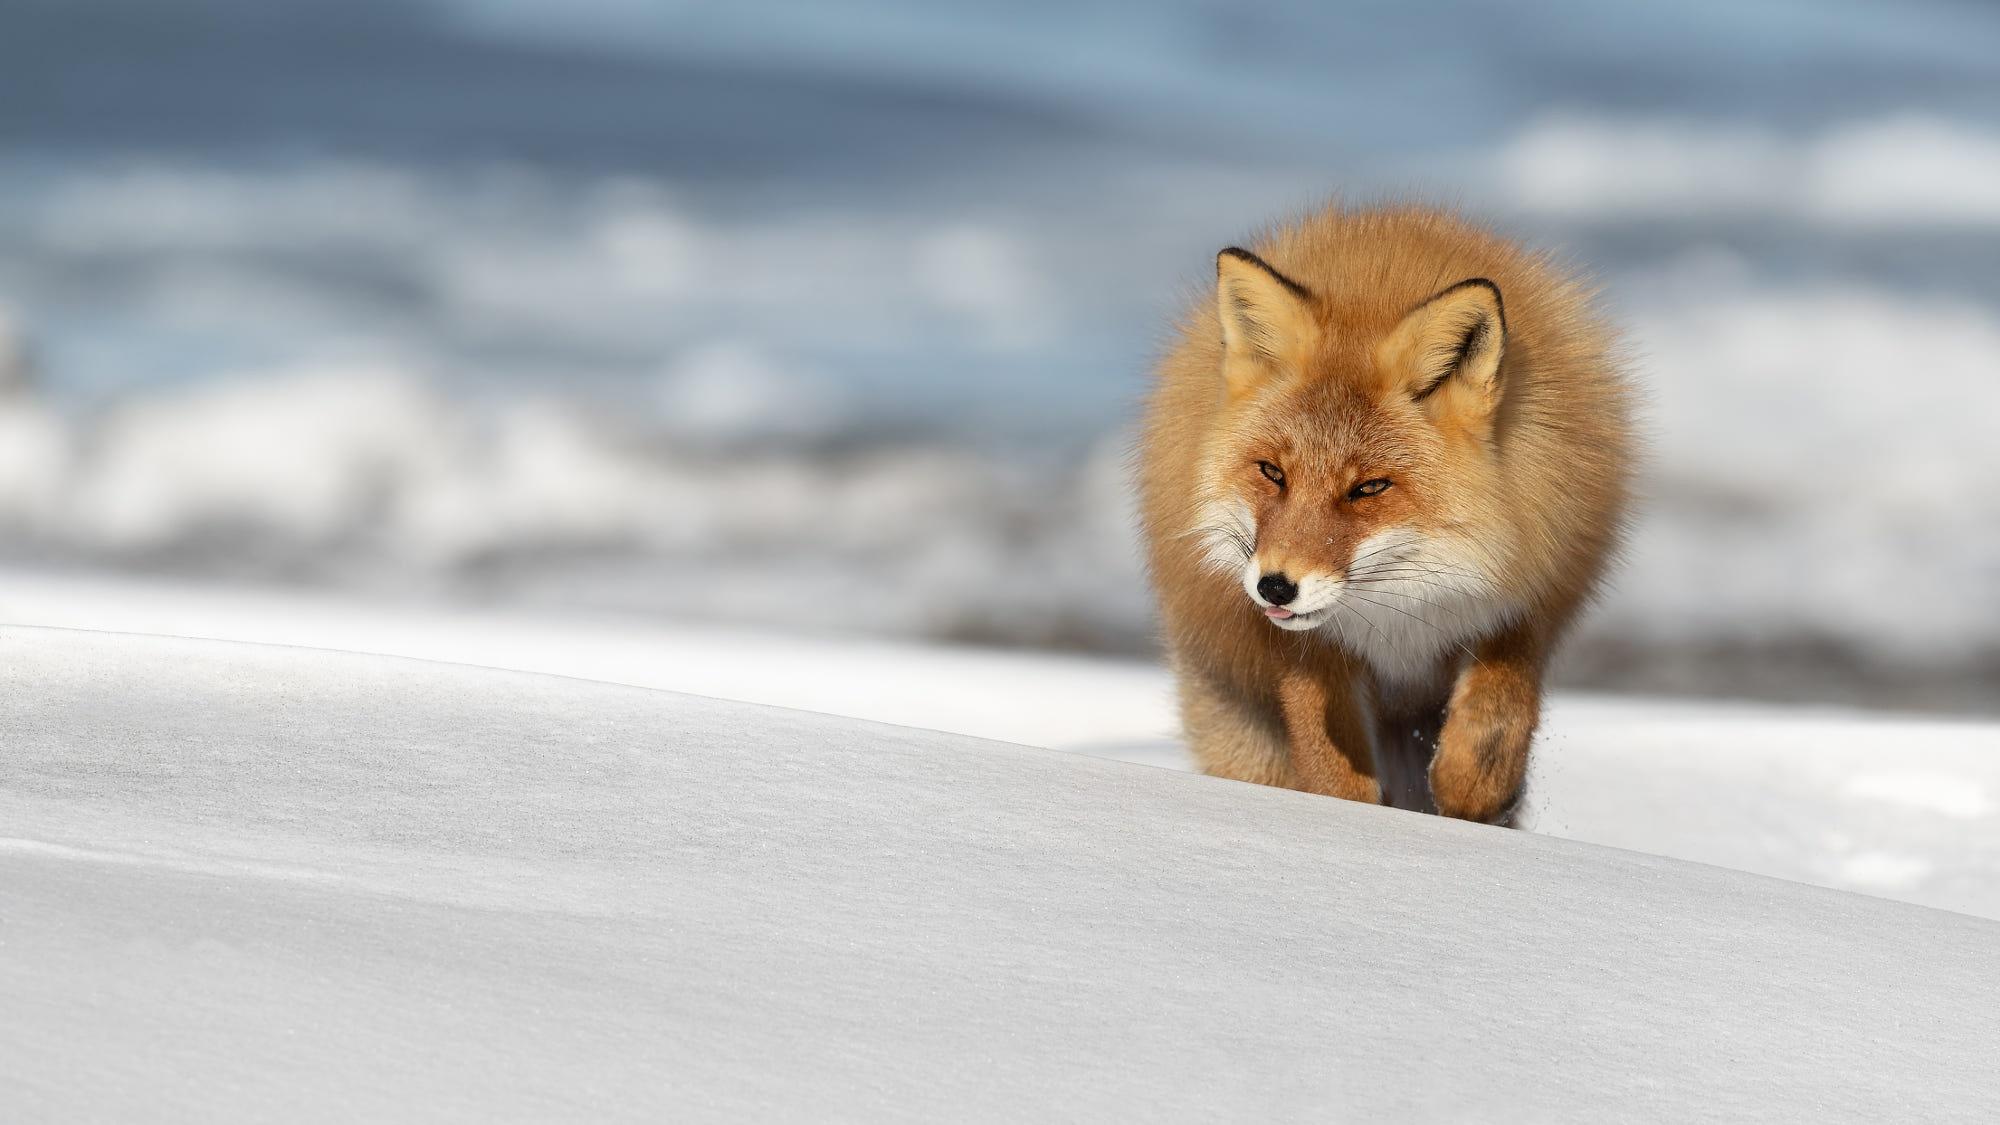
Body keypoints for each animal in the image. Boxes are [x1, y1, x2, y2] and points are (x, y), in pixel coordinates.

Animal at [1138, 203, 1633, 824]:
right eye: (1272, 472)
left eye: (1369, 488)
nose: (1275, 587)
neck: (1401, 617)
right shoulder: (1309, 648)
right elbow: (1338, 781)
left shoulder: (1534, 578)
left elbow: (1491, 732)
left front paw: (1474, 796)